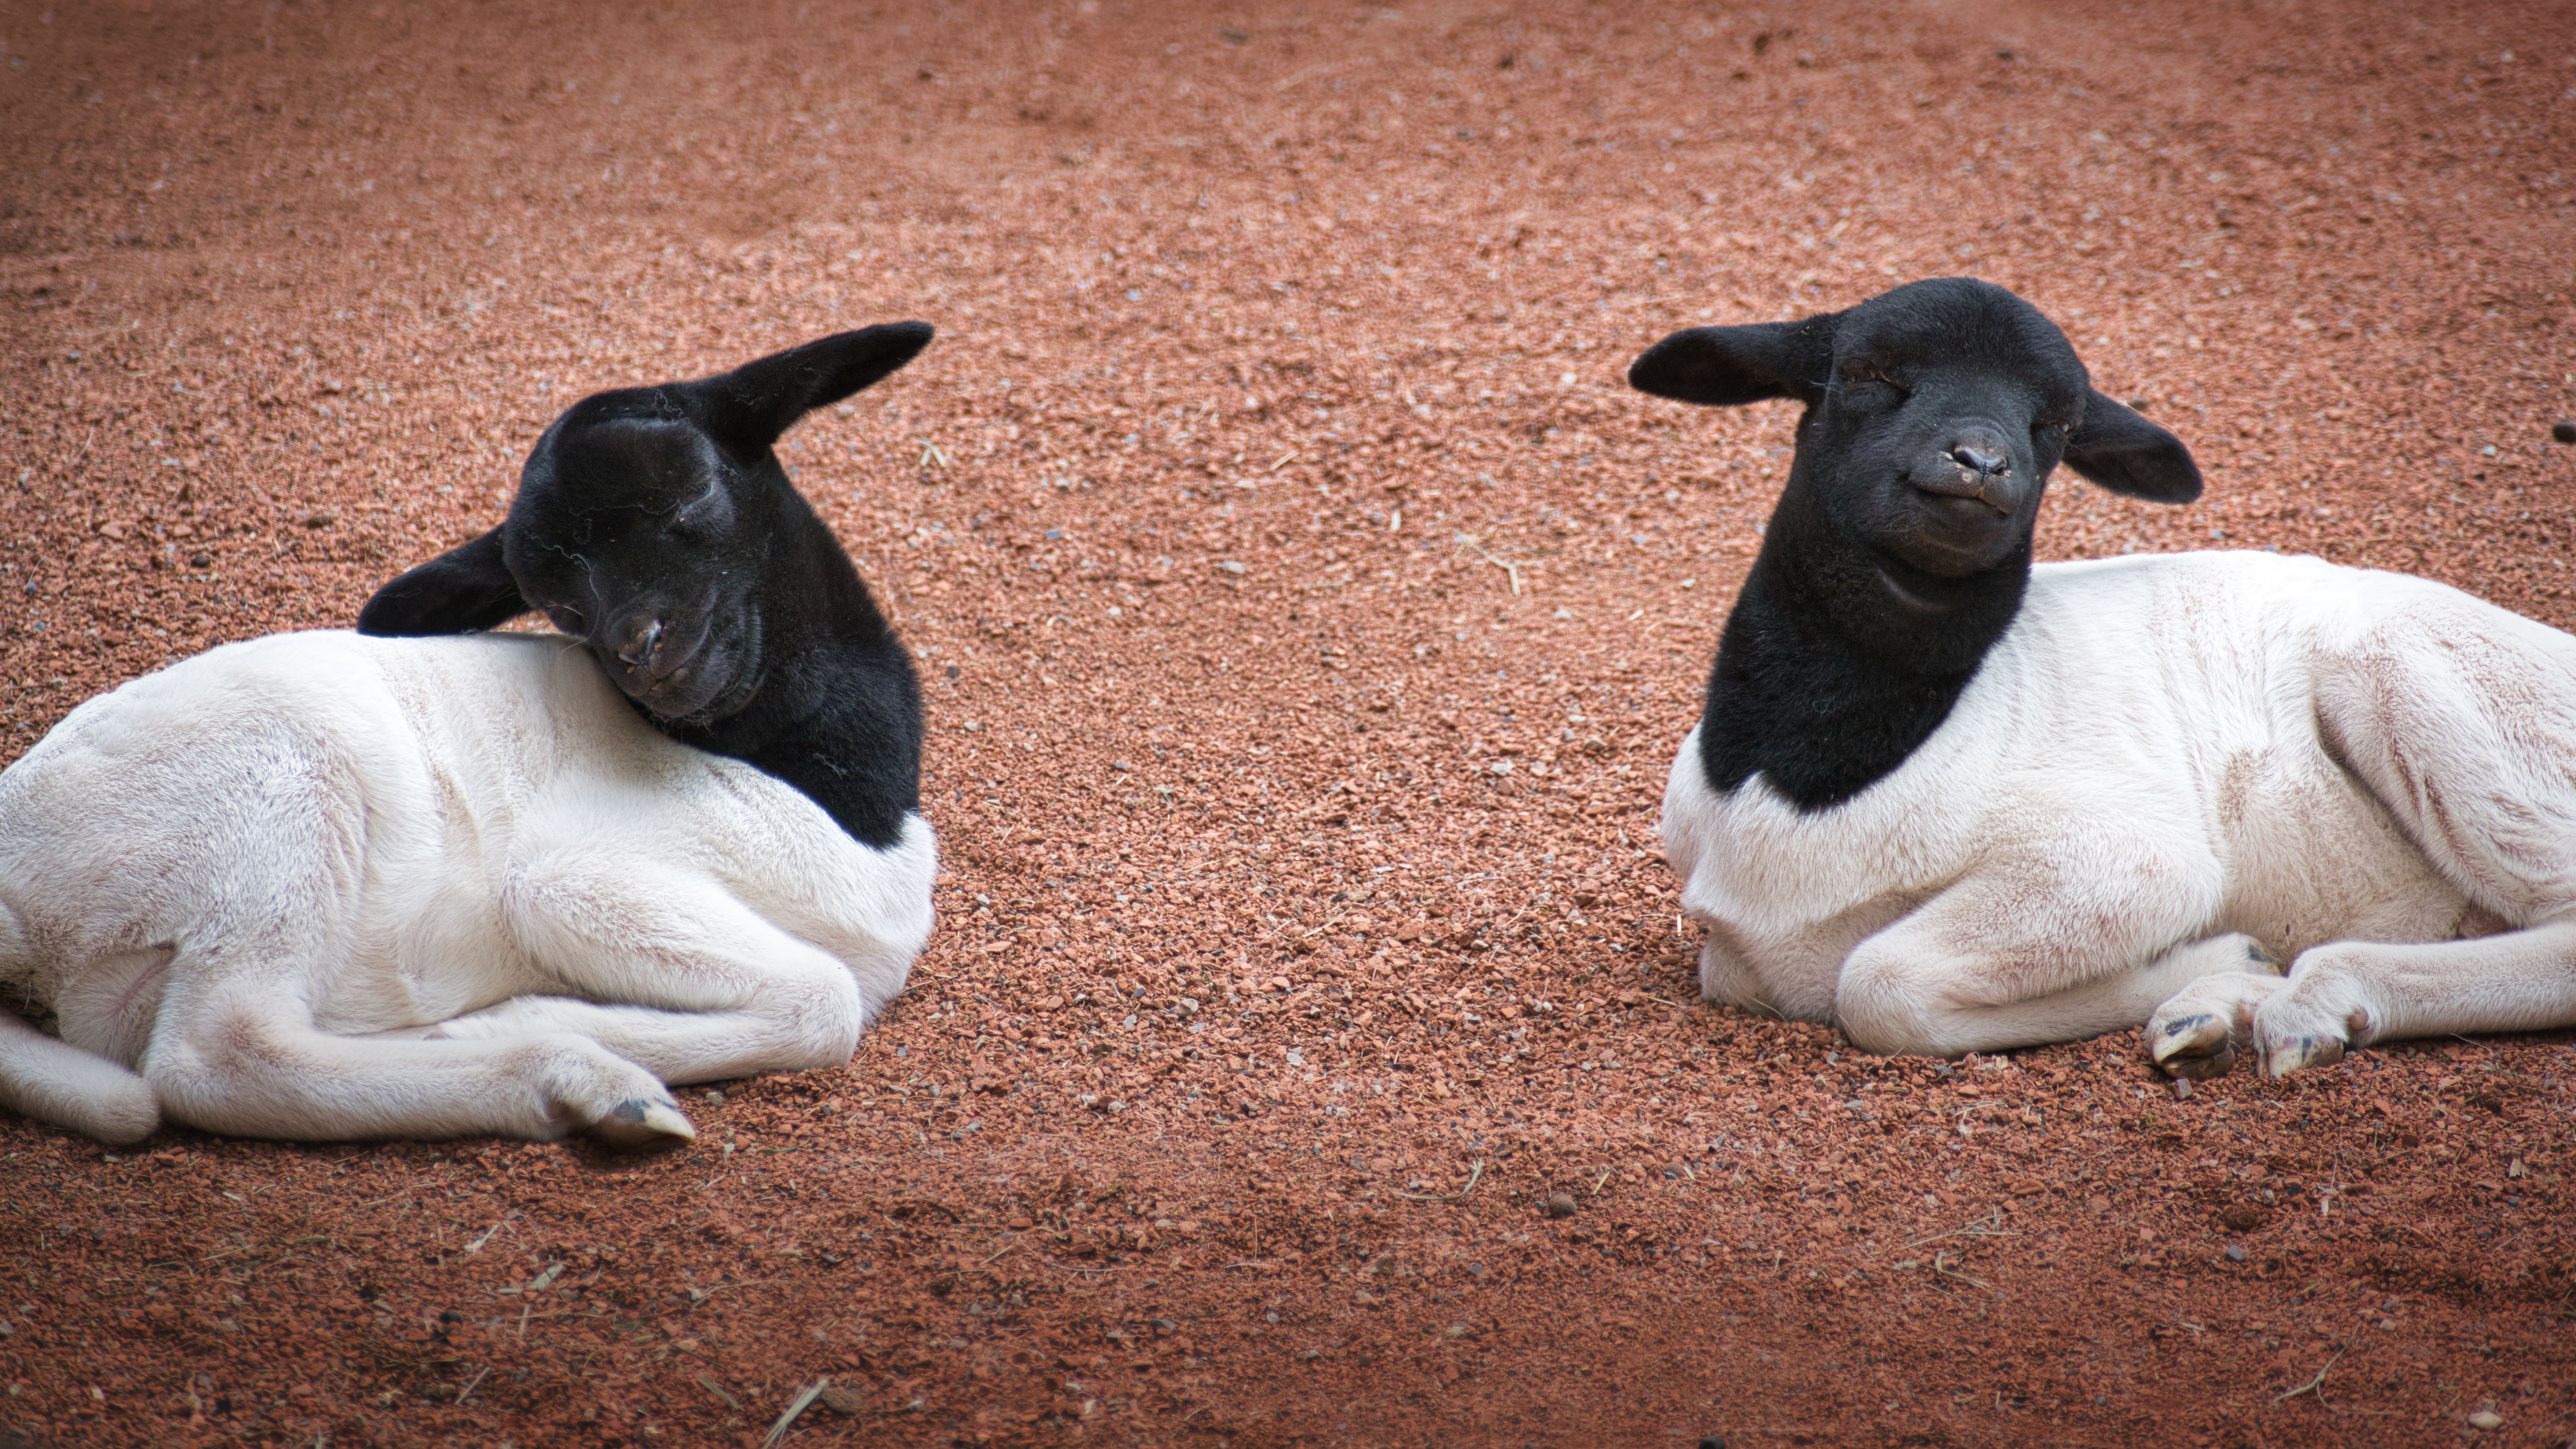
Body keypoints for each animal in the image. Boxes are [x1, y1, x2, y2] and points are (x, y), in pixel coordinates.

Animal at [0, 324, 939, 1145]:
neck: (843, 798)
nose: (637, 647)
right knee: (218, 1054)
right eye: (563, 606)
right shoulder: (575, 879)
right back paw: (578, 1078)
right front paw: (514, 1021)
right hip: (274, 809)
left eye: (697, 490)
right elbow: (823, 1001)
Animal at [1631, 277, 2576, 1078]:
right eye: (1866, 372)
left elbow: (1878, 984)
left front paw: (2222, 959)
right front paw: (2220, 982)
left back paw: (2306, 999)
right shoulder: (1733, 957)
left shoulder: (2125, 860)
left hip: (2440, 699)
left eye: (2055, 424)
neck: (1798, 774)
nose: (1981, 462)